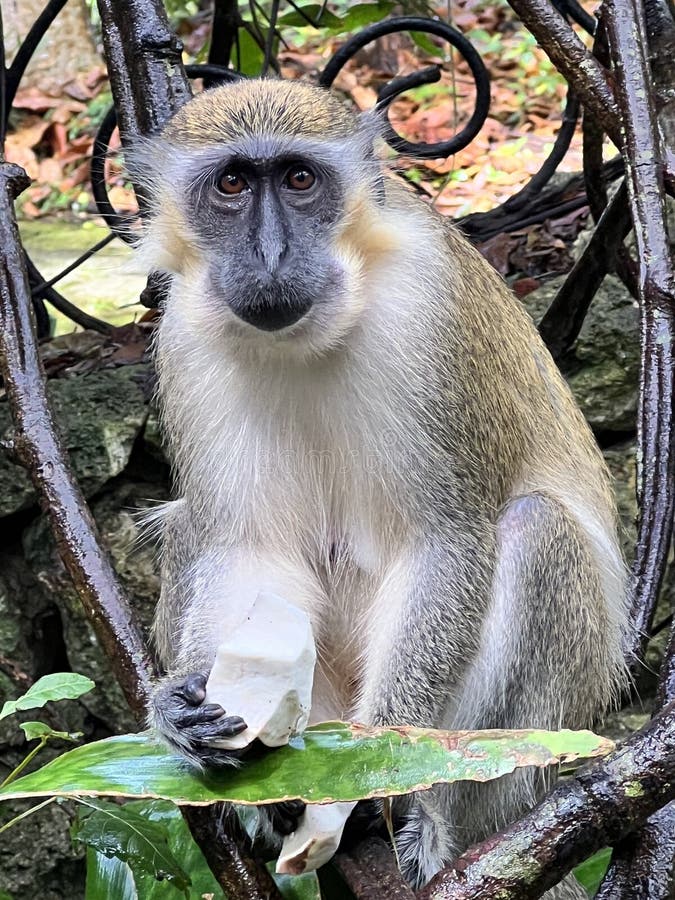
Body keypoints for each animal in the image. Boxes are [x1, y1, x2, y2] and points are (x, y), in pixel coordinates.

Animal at [130, 79, 629, 897]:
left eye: (300, 179)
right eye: (232, 184)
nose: (271, 255)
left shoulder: (430, 311)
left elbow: (445, 541)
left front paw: (371, 765)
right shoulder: (182, 336)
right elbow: (247, 551)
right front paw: (183, 708)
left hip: (525, 758)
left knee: (535, 528)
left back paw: (433, 818)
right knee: (188, 527)